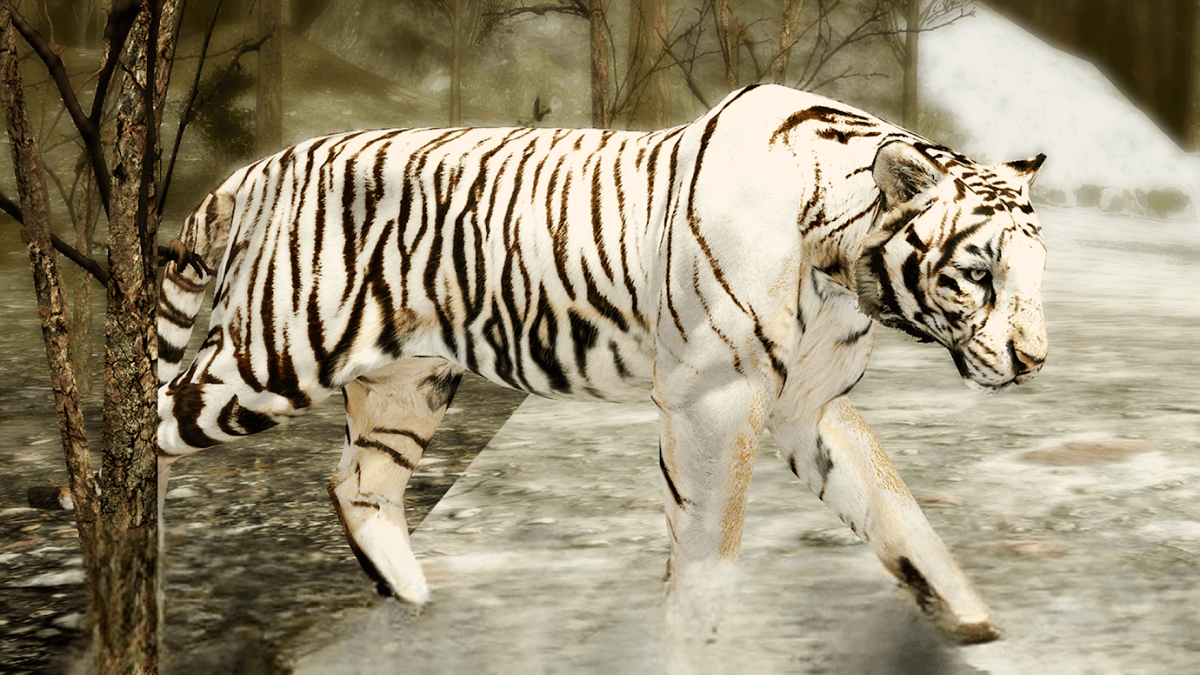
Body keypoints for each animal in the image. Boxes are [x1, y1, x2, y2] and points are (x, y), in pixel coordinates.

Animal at [154, 83, 1047, 644]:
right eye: (977, 273)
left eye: (1036, 270)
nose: (1035, 359)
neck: (842, 268)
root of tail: (261, 167)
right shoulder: (715, 398)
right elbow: (708, 542)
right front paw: (697, 638)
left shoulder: (809, 403)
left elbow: (896, 507)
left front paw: (965, 615)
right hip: (269, 357)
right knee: (148, 415)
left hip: (405, 385)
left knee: (357, 481)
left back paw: (411, 594)